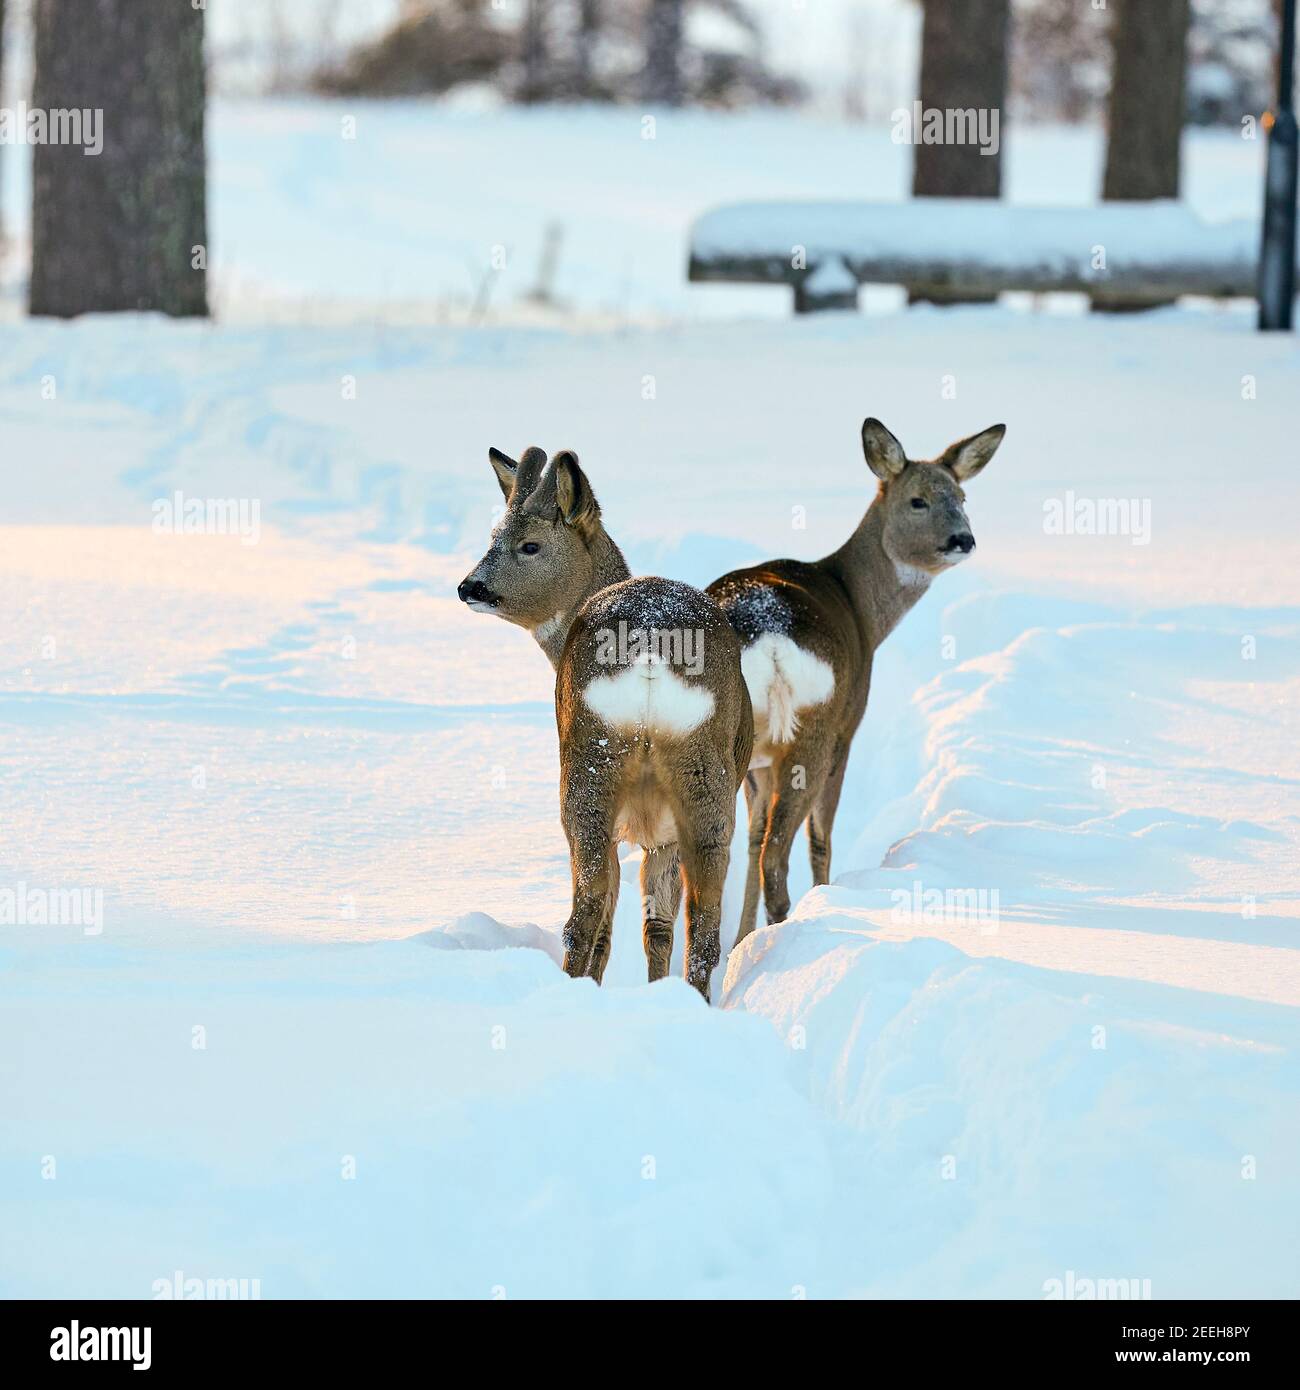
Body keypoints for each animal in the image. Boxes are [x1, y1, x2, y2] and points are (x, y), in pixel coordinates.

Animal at [457, 446, 753, 1002]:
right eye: (492, 537)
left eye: (529, 545)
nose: (469, 586)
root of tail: (652, 647)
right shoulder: (662, 831)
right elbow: (657, 927)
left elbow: (620, 925)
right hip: (703, 782)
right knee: (699, 928)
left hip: (587, 772)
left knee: (587, 916)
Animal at [709, 417, 1006, 945]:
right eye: (917, 500)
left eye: (962, 497)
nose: (963, 539)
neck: (860, 608)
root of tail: (765, 635)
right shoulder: (848, 728)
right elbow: (820, 839)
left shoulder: (758, 763)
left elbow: (751, 837)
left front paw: (740, 939)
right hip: (813, 731)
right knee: (779, 858)